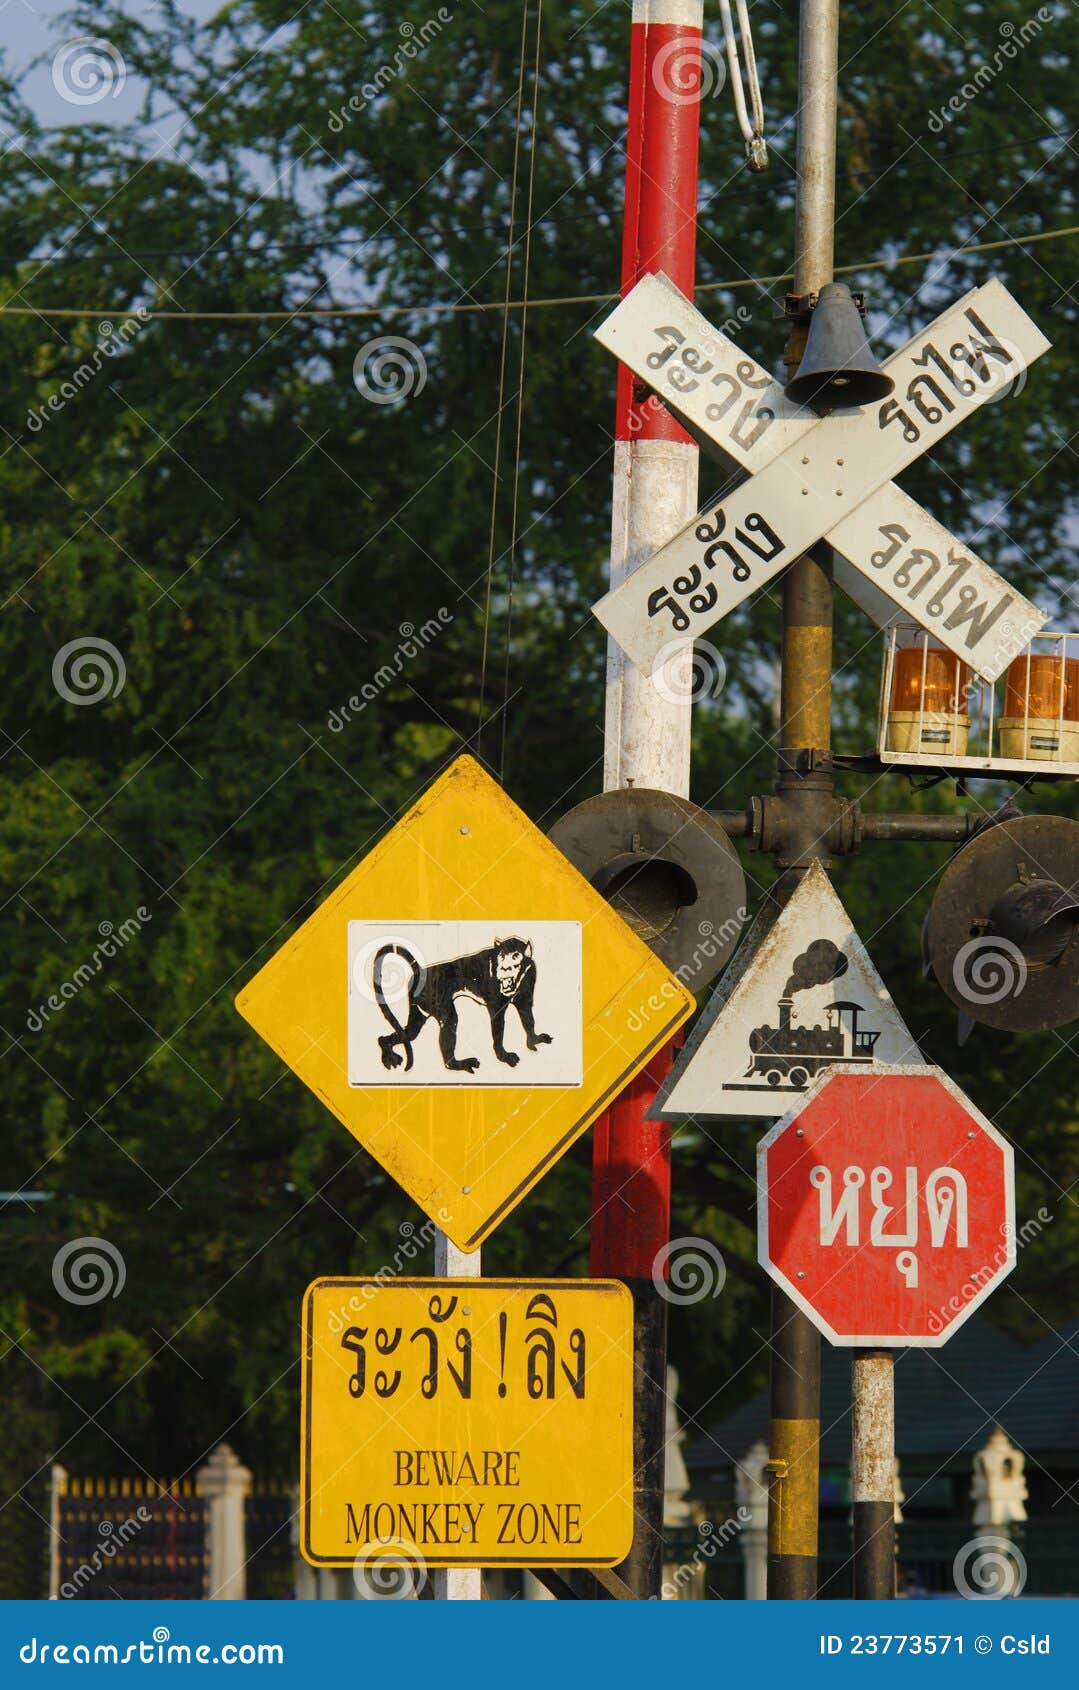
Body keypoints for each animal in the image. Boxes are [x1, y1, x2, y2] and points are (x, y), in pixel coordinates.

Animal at [372, 938, 552, 1074]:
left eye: (515, 956)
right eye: (501, 957)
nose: (504, 968)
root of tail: (420, 970)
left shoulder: (526, 996)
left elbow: (528, 1019)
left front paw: (533, 1040)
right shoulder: (496, 1007)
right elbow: (498, 1031)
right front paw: (504, 1056)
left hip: (418, 1012)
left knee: (406, 1033)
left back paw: (387, 1052)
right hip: (438, 1004)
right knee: (449, 1023)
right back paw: (458, 1064)